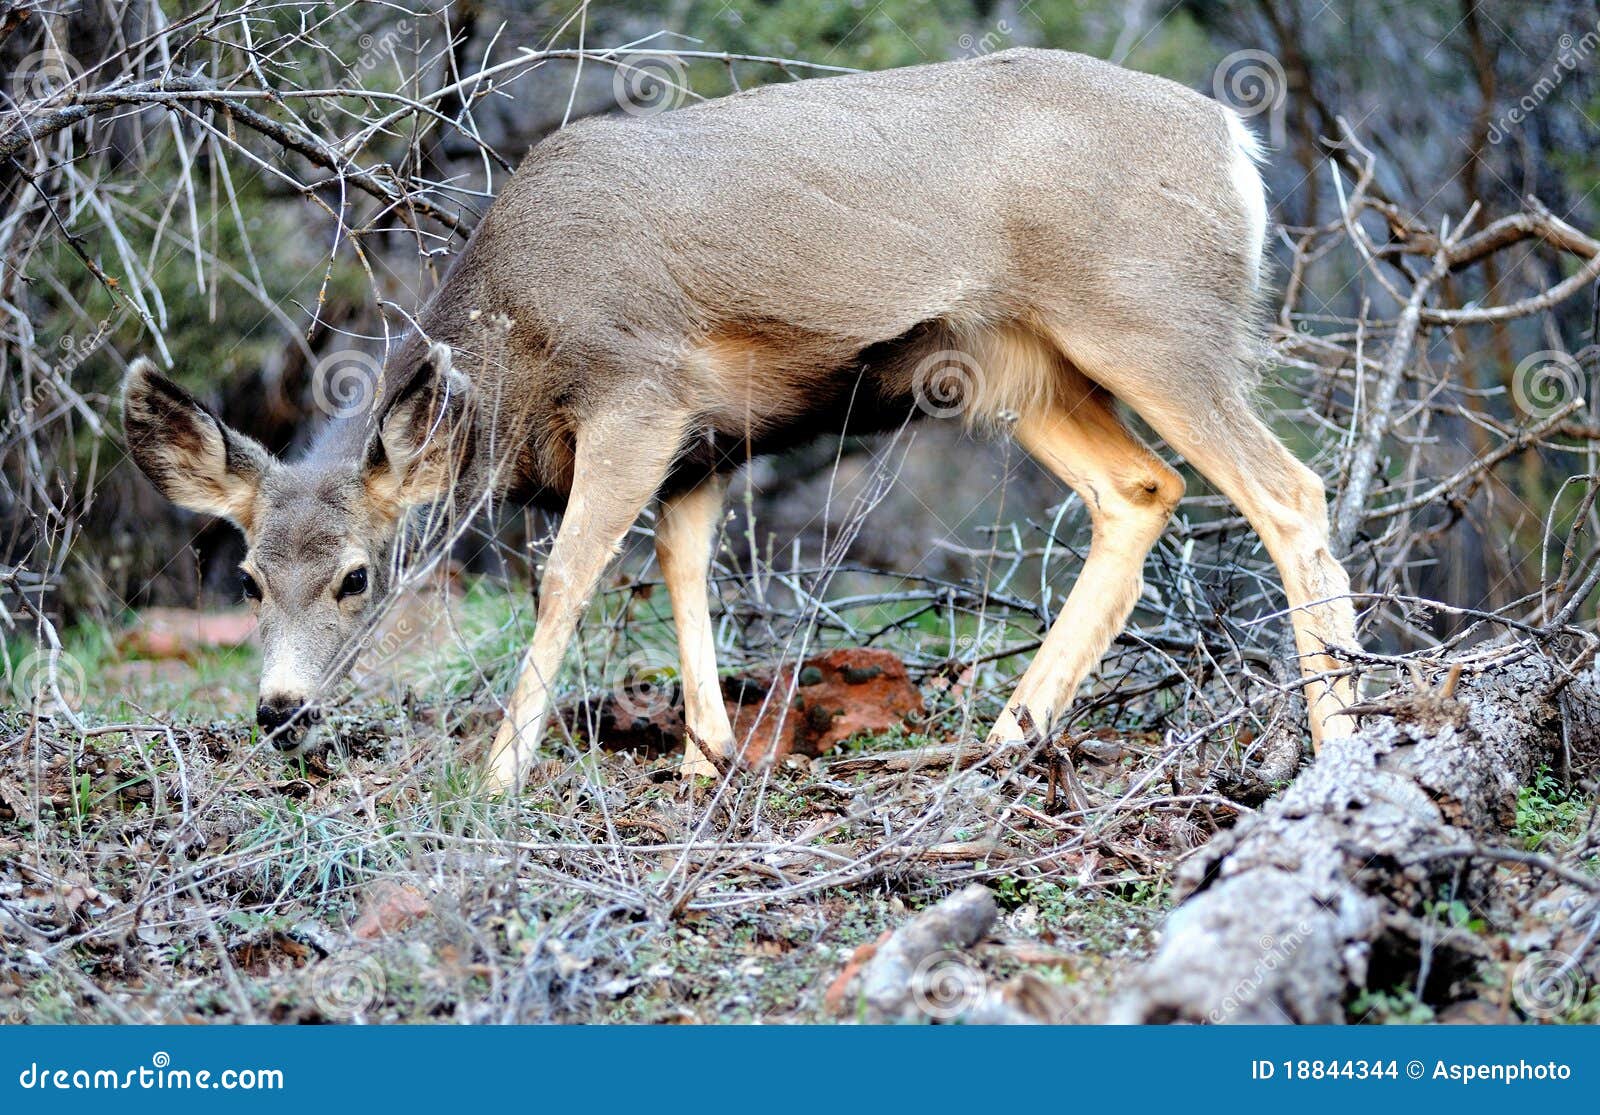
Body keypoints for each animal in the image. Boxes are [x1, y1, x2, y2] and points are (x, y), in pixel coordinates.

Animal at [122, 47, 1359, 792]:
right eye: (246, 579)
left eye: (356, 577)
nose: (279, 710)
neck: (515, 343)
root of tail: (1235, 147)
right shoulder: (702, 445)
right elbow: (686, 570)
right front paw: (707, 754)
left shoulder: (638, 390)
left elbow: (565, 574)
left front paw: (499, 774)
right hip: (1019, 369)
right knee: (1141, 490)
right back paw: (1008, 732)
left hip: (1148, 319)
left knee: (1288, 489)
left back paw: (1339, 739)